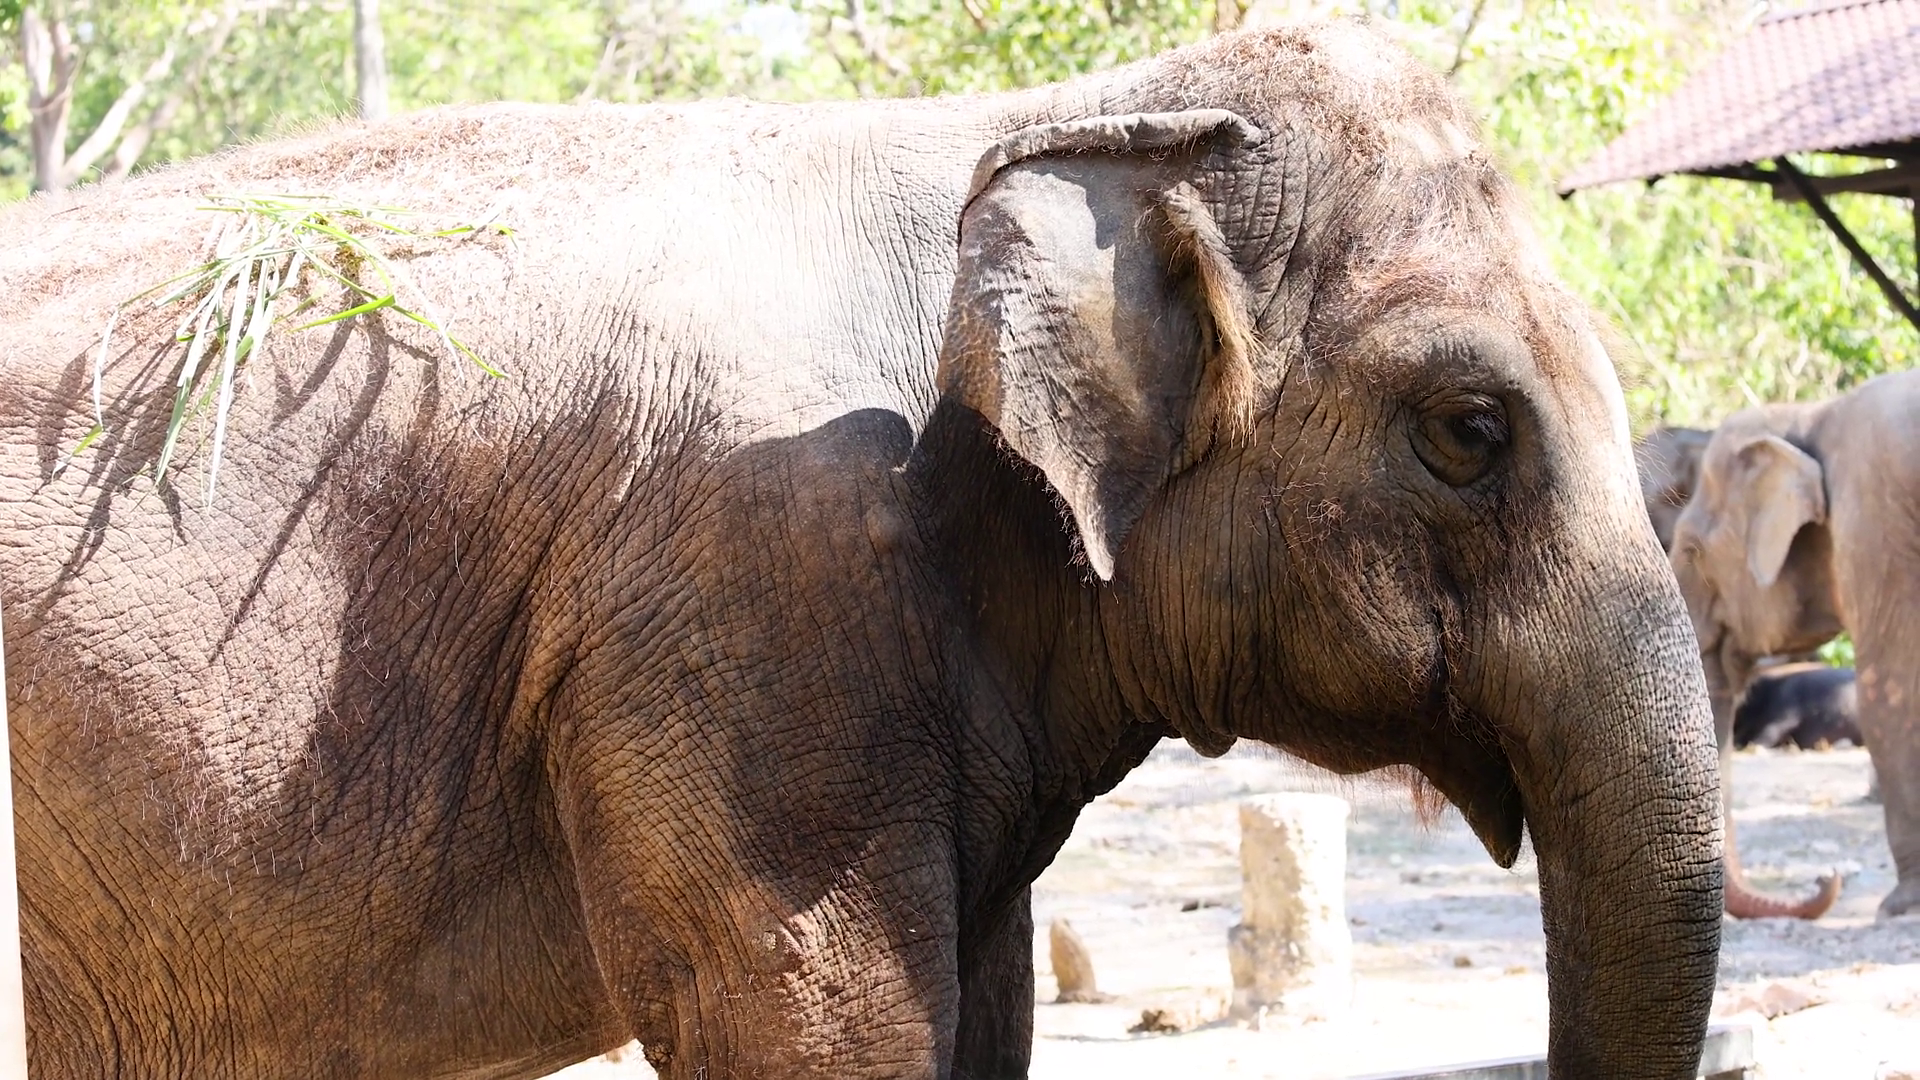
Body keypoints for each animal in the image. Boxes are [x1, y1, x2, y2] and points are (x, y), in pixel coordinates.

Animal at [1671, 368, 1920, 921]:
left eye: (1692, 552)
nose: (1827, 877)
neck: (1808, 417)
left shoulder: (1875, 522)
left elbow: (1890, 692)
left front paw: (1900, 906)